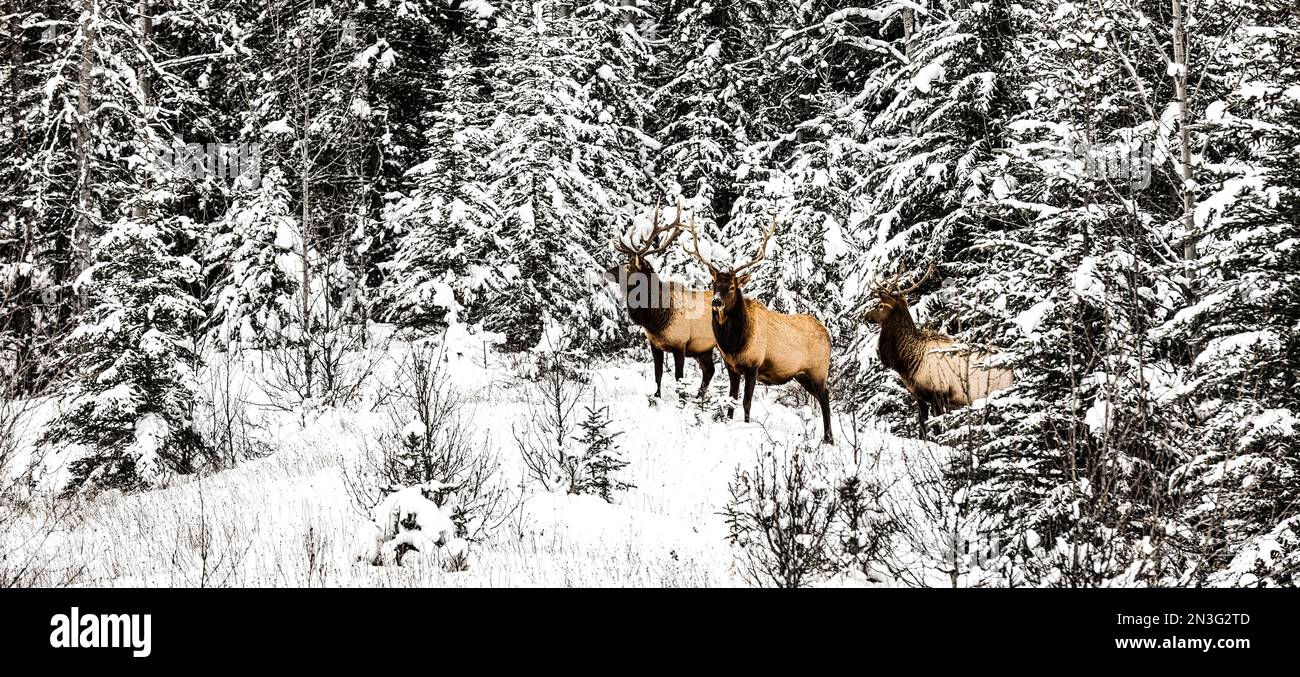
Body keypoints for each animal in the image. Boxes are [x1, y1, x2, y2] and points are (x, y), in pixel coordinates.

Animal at [604, 204, 719, 399]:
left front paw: (681, 400)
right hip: (704, 348)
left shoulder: (680, 345)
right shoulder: (655, 344)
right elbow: (658, 374)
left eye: (627, 265)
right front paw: (656, 397)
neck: (656, 318)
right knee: (709, 371)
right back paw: (699, 397)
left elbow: (679, 377)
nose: (606, 272)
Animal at [683, 215, 835, 444]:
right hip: (802, 374)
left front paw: (747, 426)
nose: (716, 302)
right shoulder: (731, 366)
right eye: (714, 283)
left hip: (818, 369)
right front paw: (728, 422)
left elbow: (746, 402)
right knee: (821, 398)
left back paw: (828, 439)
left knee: (825, 399)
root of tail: (828, 335)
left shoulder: (753, 365)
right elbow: (731, 399)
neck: (734, 343)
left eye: (732, 287)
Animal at [862, 262, 1014, 441]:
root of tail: (1014, 369)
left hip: (1001, 390)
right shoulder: (920, 397)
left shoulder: (939, 394)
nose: (866, 316)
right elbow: (922, 429)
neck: (909, 362)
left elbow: (937, 428)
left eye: (880, 306)